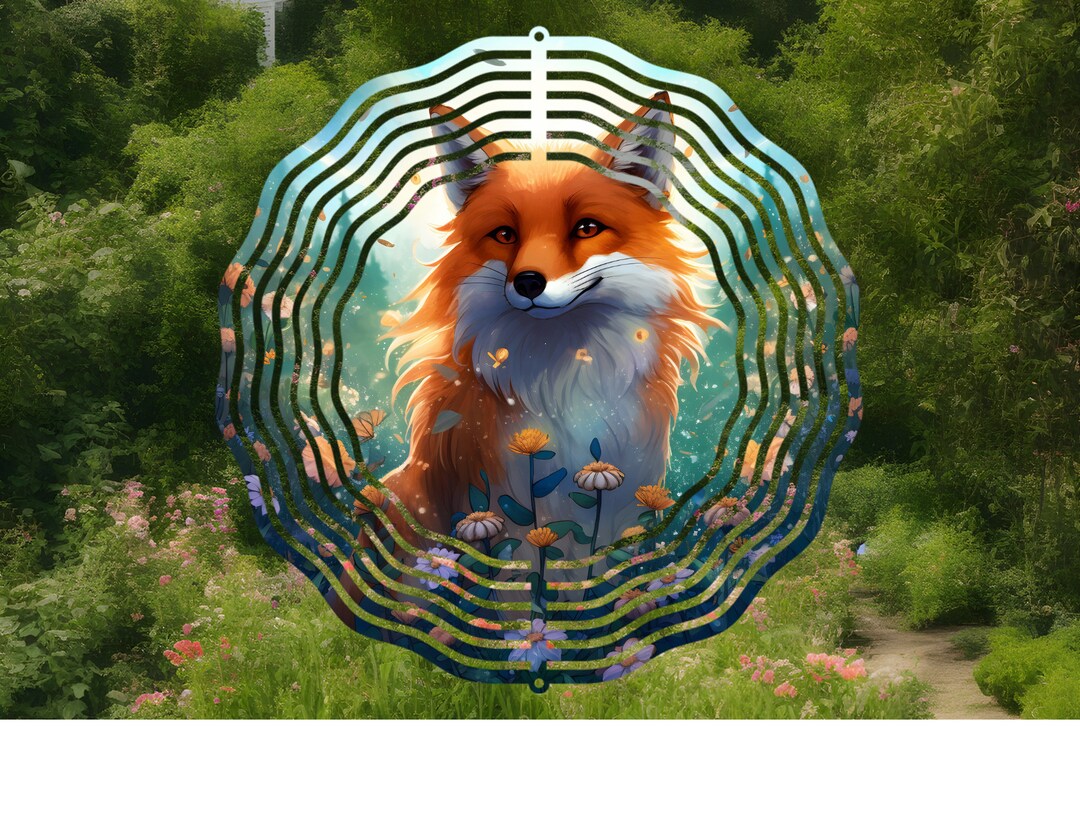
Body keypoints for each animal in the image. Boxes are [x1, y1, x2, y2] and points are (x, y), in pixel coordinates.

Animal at [379, 92, 718, 550]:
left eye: (587, 228)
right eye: (505, 235)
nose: (527, 282)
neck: (569, 382)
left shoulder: (623, 505)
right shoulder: (508, 506)